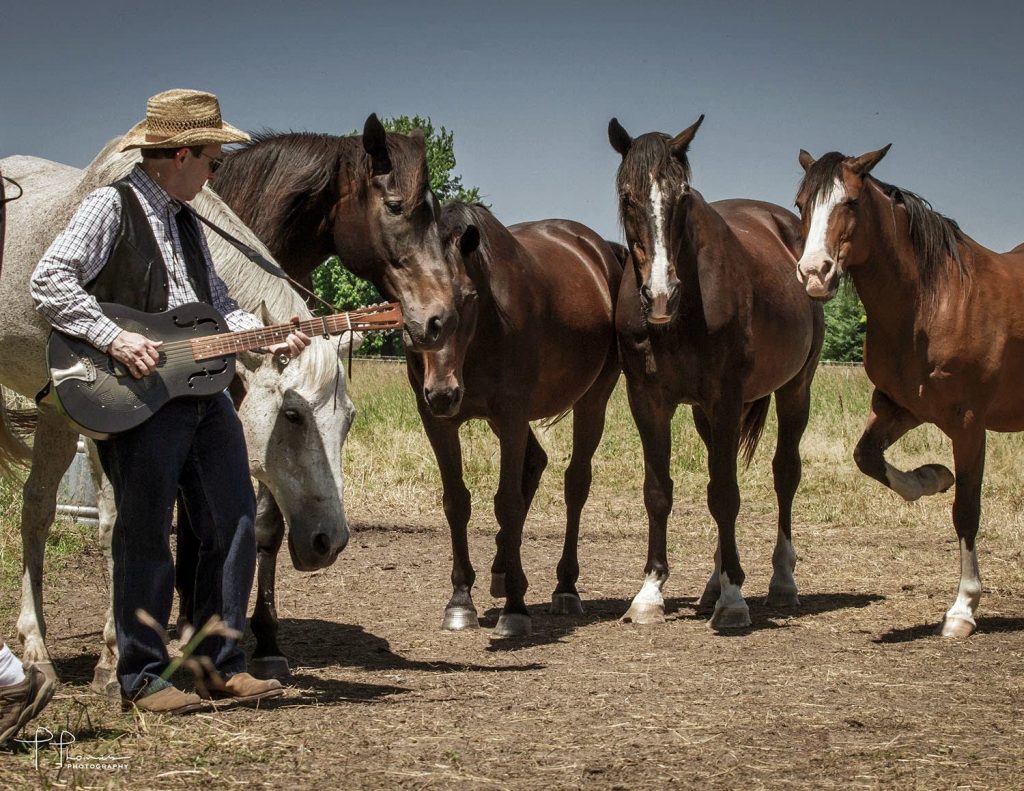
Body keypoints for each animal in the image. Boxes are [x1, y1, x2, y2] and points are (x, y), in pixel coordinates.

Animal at [405, 201, 622, 637]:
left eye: (468, 296)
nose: (443, 392)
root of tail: (600, 250)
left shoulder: (511, 414)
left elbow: (506, 501)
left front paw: (515, 610)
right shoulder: (438, 421)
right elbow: (457, 501)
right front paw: (460, 600)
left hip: (593, 400)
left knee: (576, 483)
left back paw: (565, 587)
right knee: (535, 464)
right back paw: (503, 571)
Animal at [607, 116, 825, 629]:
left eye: (683, 195)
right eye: (627, 195)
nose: (660, 295)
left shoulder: (726, 397)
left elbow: (725, 493)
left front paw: (733, 599)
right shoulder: (647, 400)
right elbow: (659, 491)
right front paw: (650, 593)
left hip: (795, 390)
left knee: (784, 474)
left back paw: (780, 582)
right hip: (706, 415)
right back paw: (713, 583)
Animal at [794, 145, 1024, 637]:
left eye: (851, 203)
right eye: (801, 204)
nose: (815, 274)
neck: (932, 303)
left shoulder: (969, 425)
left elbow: (966, 511)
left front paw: (962, 609)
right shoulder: (897, 407)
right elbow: (867, 457)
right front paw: (931, 478)